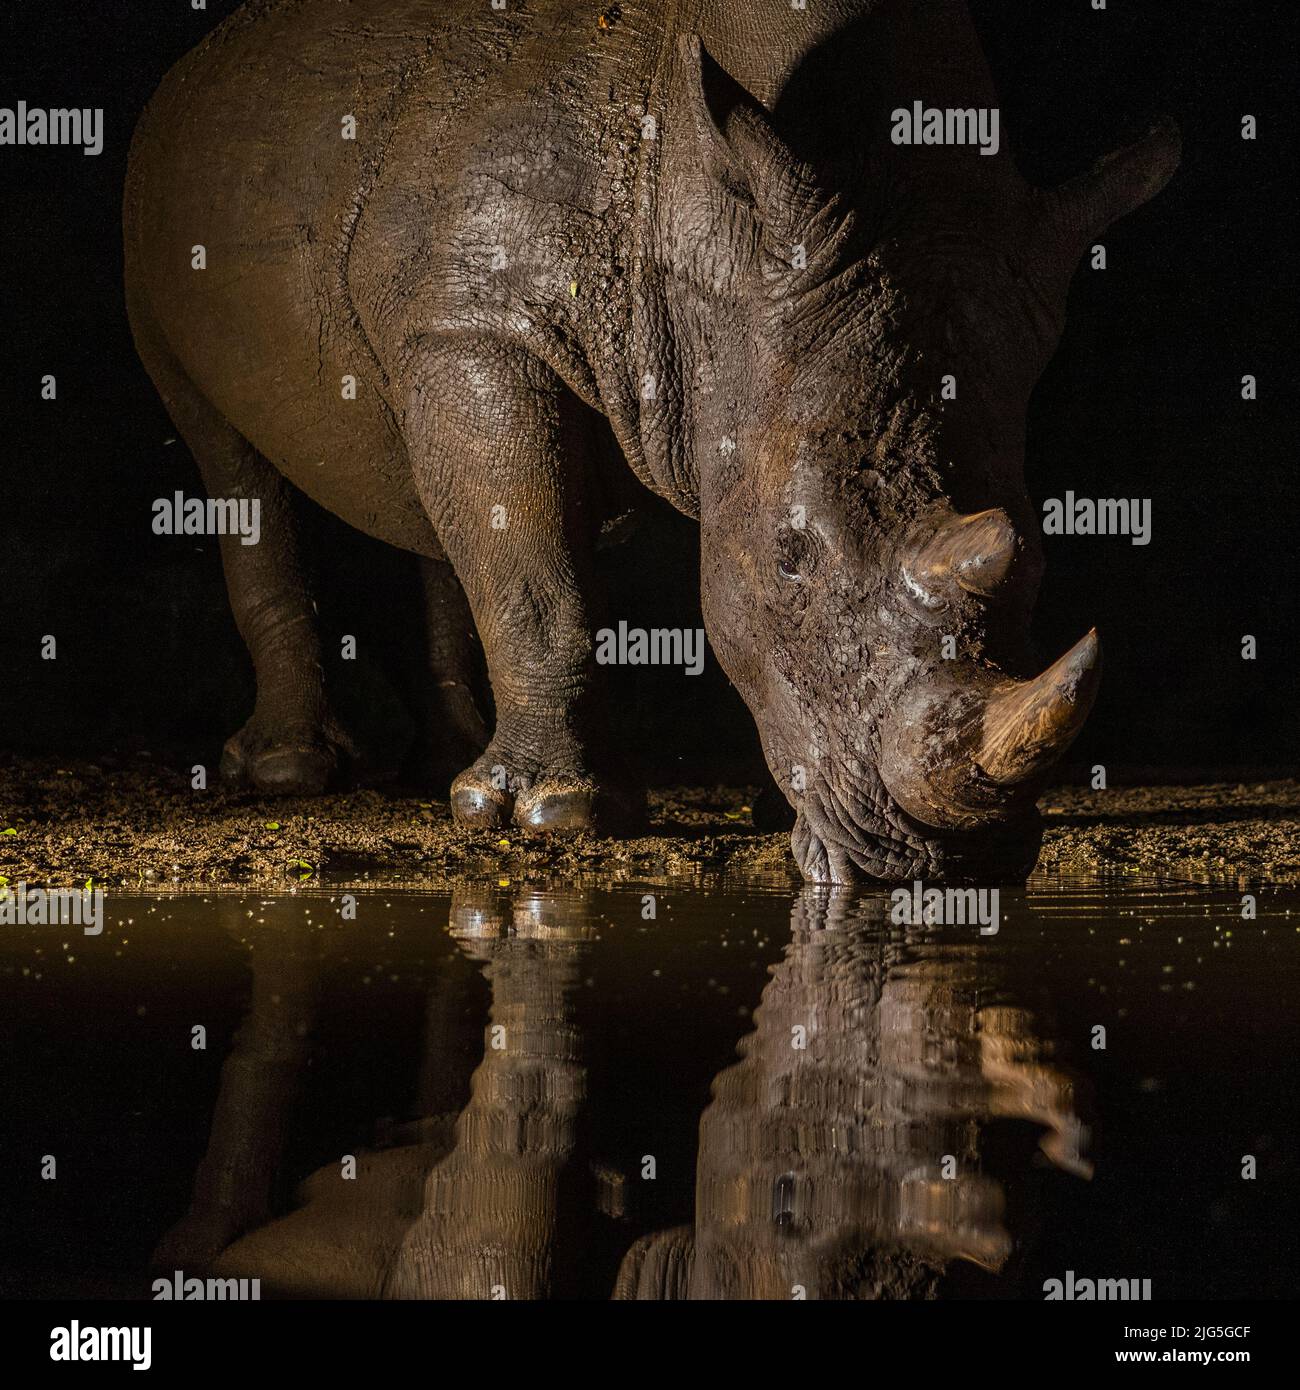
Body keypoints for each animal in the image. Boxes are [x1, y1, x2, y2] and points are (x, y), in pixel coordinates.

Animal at [124, 0, 1179, 882]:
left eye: (1038, 558)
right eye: (792, 557)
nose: (952, 862)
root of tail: (198, 59)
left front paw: (771, 806)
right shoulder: (485, 322)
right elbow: (535, 573)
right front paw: (552, 816)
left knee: (431, 487)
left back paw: (444, 769)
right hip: (161, 221)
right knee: (232, 462)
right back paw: (296, 774)